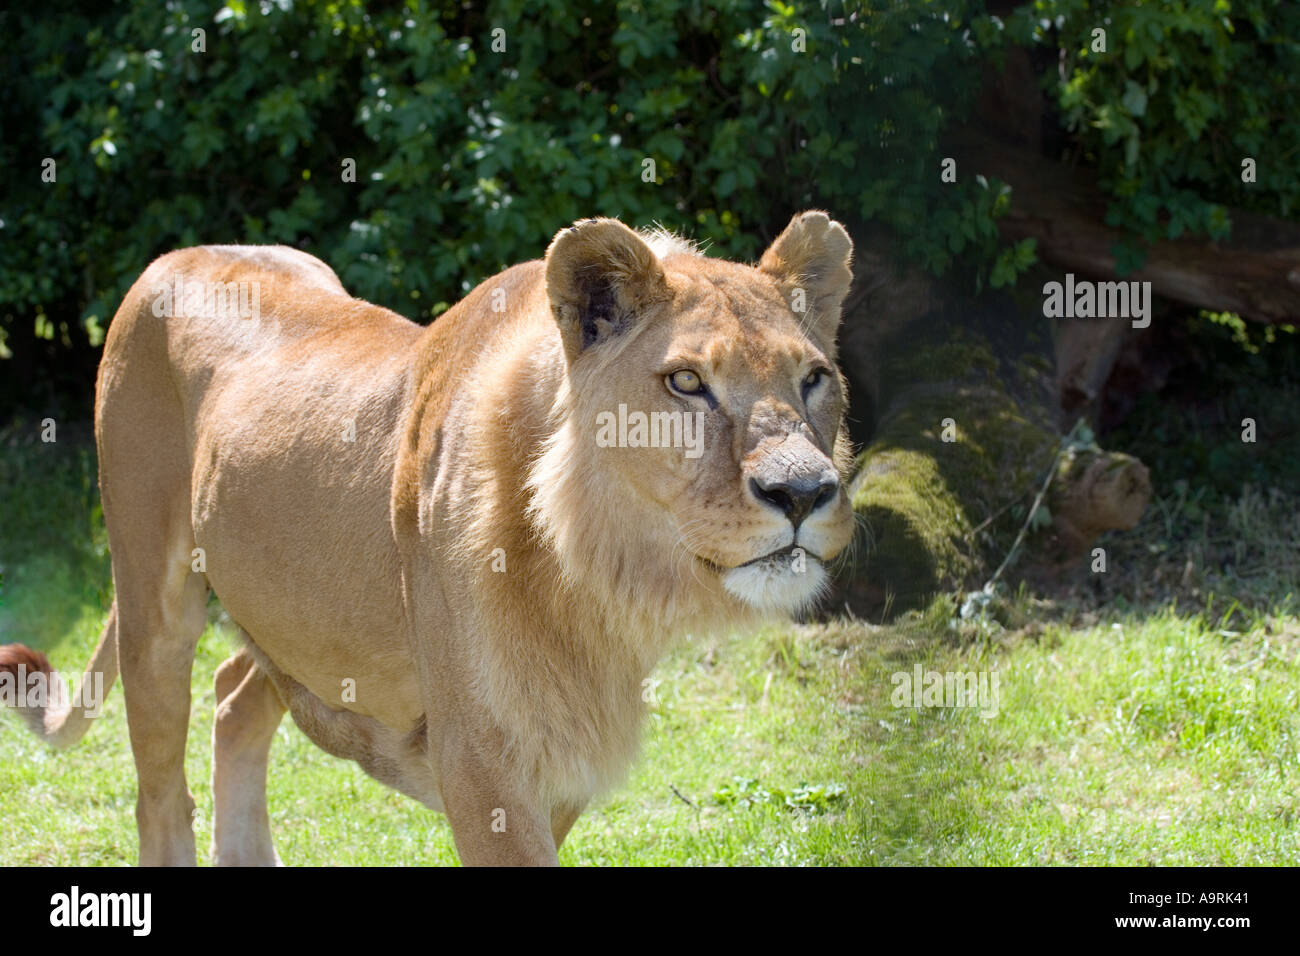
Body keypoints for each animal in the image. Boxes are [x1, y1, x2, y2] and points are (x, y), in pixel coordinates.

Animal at [0, 211, 856, 865]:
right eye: (686, 382)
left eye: (814, 379)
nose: (805, 492)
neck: (596, 578)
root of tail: (175, 256)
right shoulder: (482, 754)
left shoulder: (554, 755)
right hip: (154, 600)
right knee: (159, 793)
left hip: (290, 617)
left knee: (235, 692)